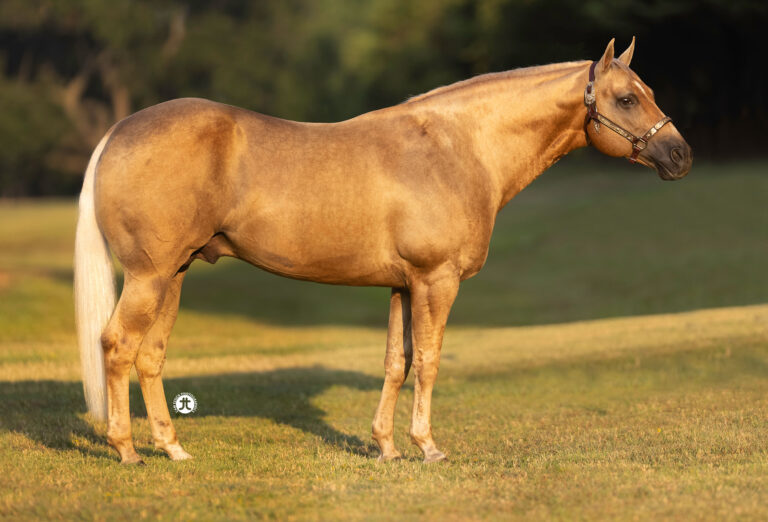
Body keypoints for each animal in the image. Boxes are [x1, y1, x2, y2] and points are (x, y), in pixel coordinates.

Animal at [74, 38, 692, 464]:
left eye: (647, 93)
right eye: (626, 98)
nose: (680, 155)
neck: (456, 148)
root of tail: (118, 132)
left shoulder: (402, 284)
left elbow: (398, 361)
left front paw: (386, 447)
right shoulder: (436, 280)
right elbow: (431, 360)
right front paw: (427, 447)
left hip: (174, 275)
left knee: (150, 356)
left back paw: (172, 448)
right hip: (149, 277)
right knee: (118, 346)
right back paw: (126, 449)